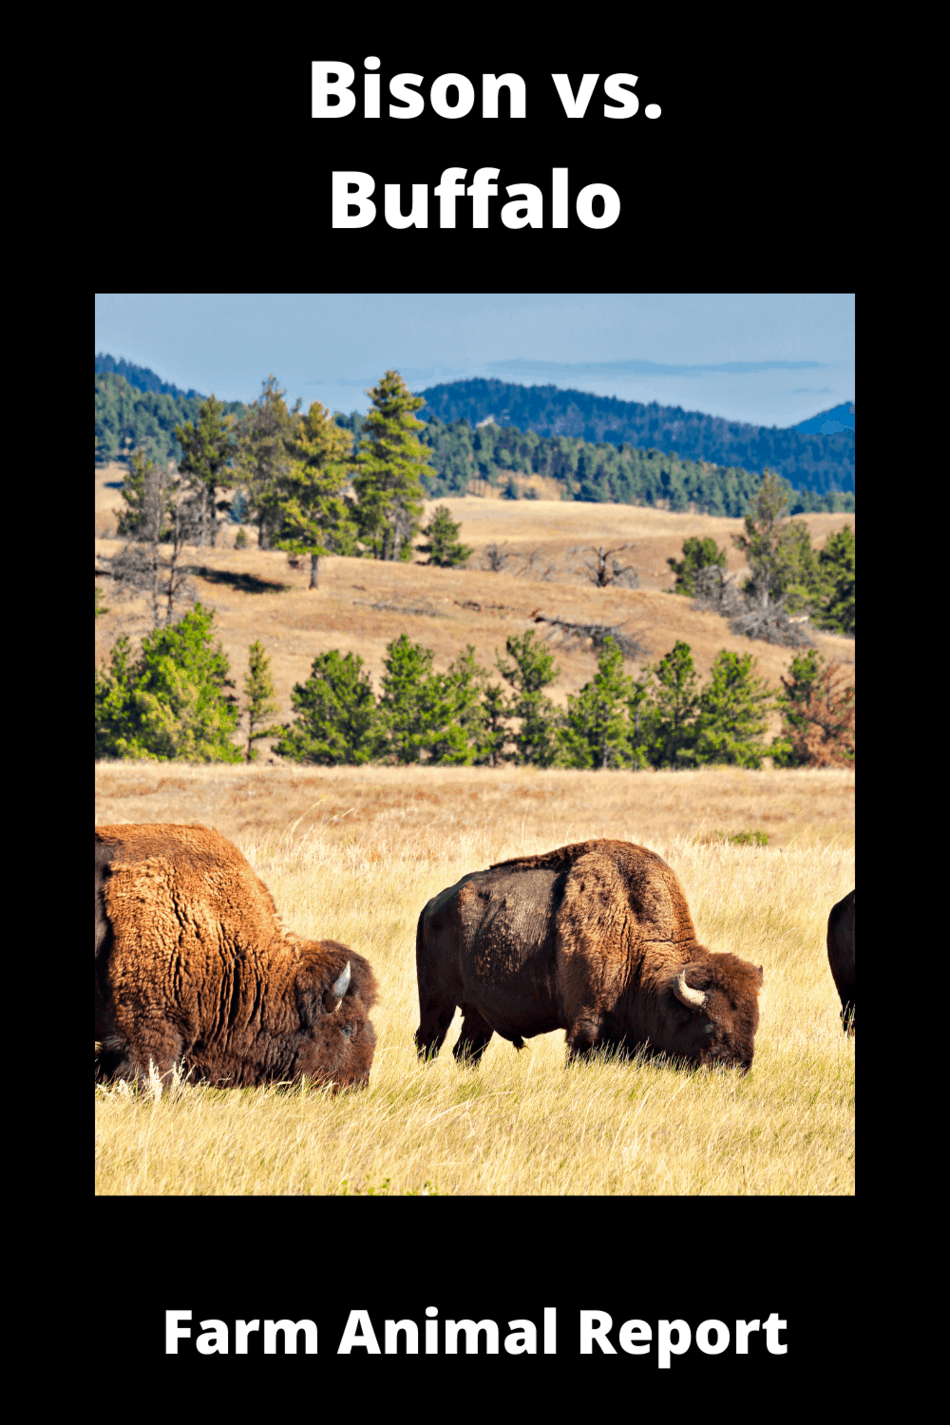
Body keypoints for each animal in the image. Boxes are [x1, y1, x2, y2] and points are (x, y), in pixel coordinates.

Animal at [415, 838, 763, 1073]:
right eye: (711, 1025)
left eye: (753, 1025)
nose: (737, 1071)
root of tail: (433, 904)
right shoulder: (585, 1024)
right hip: (436, 999)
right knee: (428, 1040)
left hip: (478, 1012)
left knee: (466, 1050)